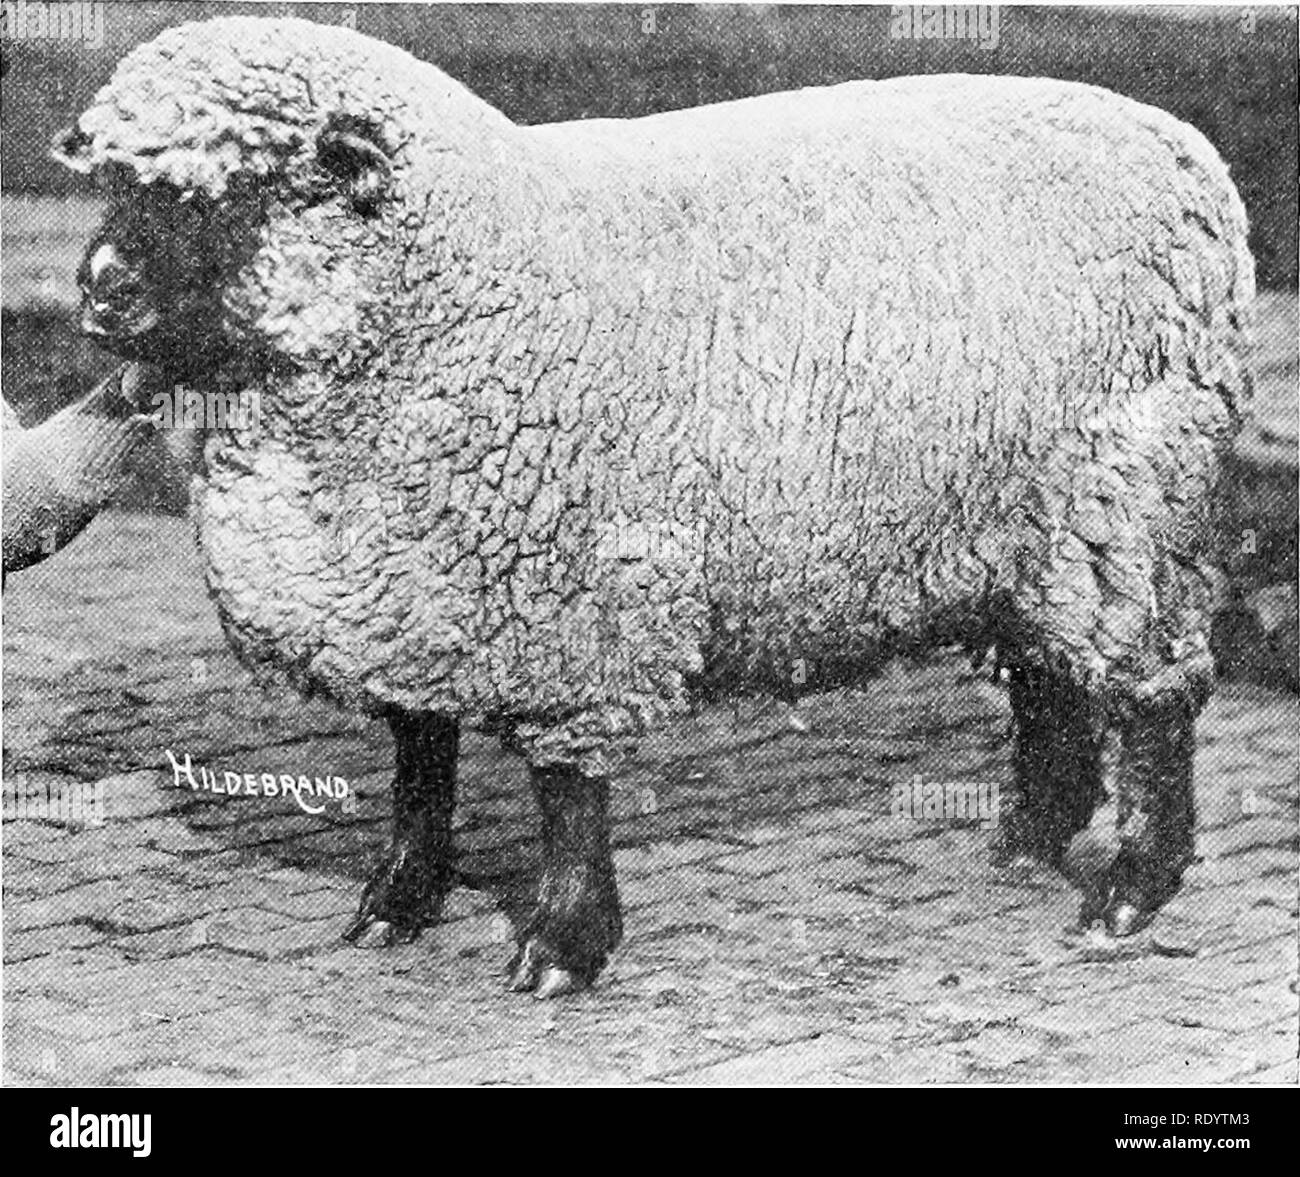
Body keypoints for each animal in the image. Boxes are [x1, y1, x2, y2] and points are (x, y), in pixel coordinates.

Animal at [56, 16, 1254, 997]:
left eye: (232, 190)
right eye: (119, 182)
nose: (100, 290)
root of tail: (1177, 142)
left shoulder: (566, 596)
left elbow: (564, 786)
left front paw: (563, 946)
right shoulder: (410, 590)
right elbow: (420, 761)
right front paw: (397, 903)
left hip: (1122, 498)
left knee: (1152, 697)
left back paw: (1129, 890)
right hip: (1025, 523)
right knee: (1053, 678)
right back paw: (1029, 841)